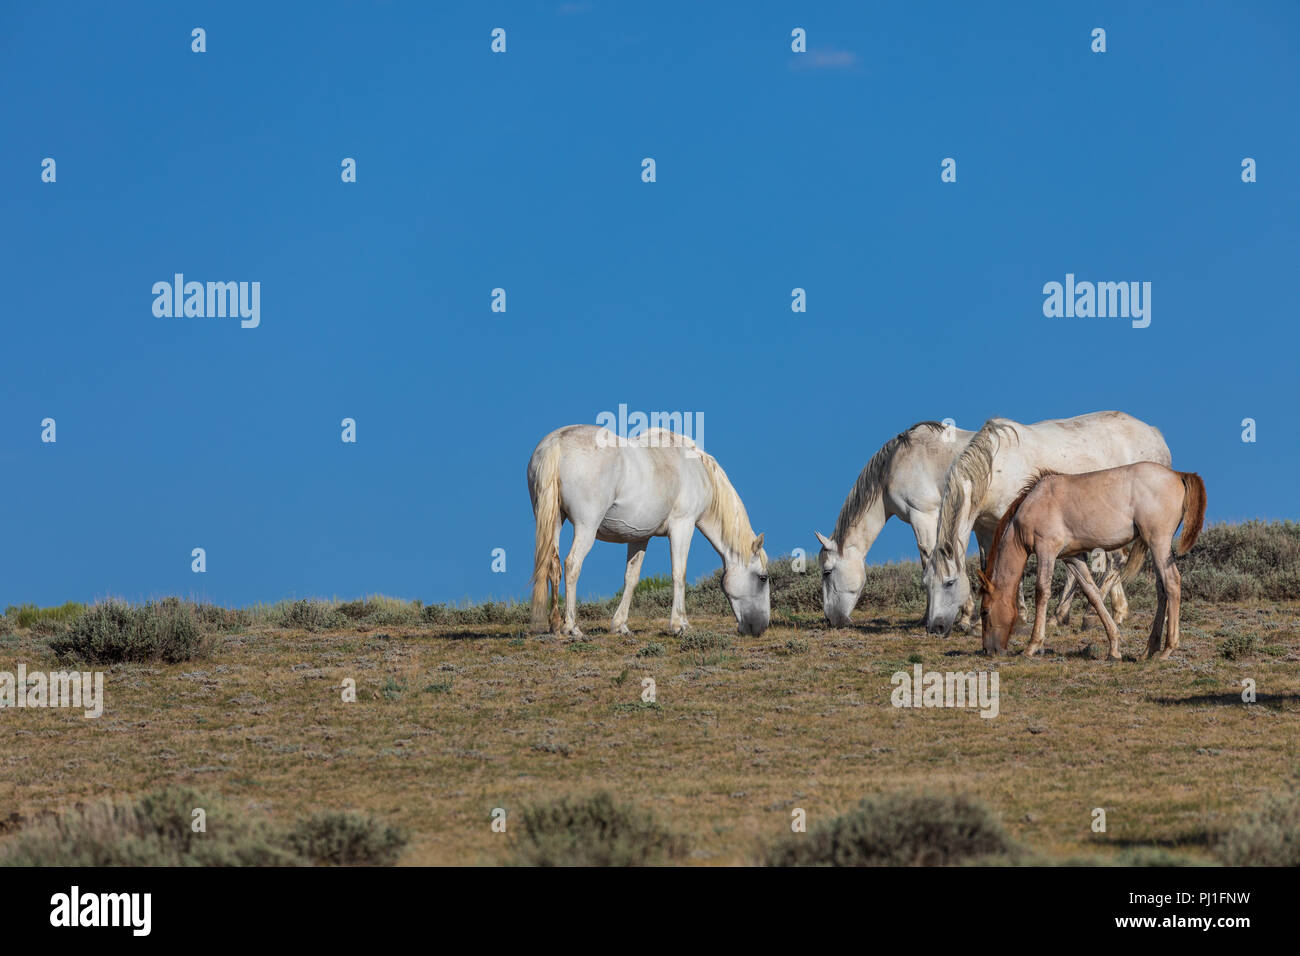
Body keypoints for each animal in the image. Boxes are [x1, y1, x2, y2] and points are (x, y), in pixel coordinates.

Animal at [527, 425, 770, 638]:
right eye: (763, 578)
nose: (760, 628)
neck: (696, 470)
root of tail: (557, 442)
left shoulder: (639, 536)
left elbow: (631, 578)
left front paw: (620, 625)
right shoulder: (683, 526)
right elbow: (679, 573)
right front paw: (680, 625)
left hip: (555, 521)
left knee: (554, 565)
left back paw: (555, 625)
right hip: (586, 527)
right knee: (572, 565)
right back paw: (571, 627)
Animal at [923, 411, 1171, 636]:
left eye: (949, 582)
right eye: (926, 583)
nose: (935, 628)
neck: (997, 467)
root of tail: (1155, 435)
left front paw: (1019, 617)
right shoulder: (985, 530)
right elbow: (988, 567)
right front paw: (979, 623)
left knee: (1117, 561)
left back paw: (1090, 616)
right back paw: (1065, 616)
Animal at [978, 463, 1206, 660]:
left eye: (985, 611)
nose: (989, 650)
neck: (1035, 501)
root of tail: (1178, 475)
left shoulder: (1046, 551)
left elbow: (1042, 592)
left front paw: (1032, 646)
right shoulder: (1072, 557)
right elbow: (1093, 593)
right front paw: (1114, 647)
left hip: (1158, 542)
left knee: (1172, 583)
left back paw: (1168, 649)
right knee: (1161, 589)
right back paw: (1148, 650)